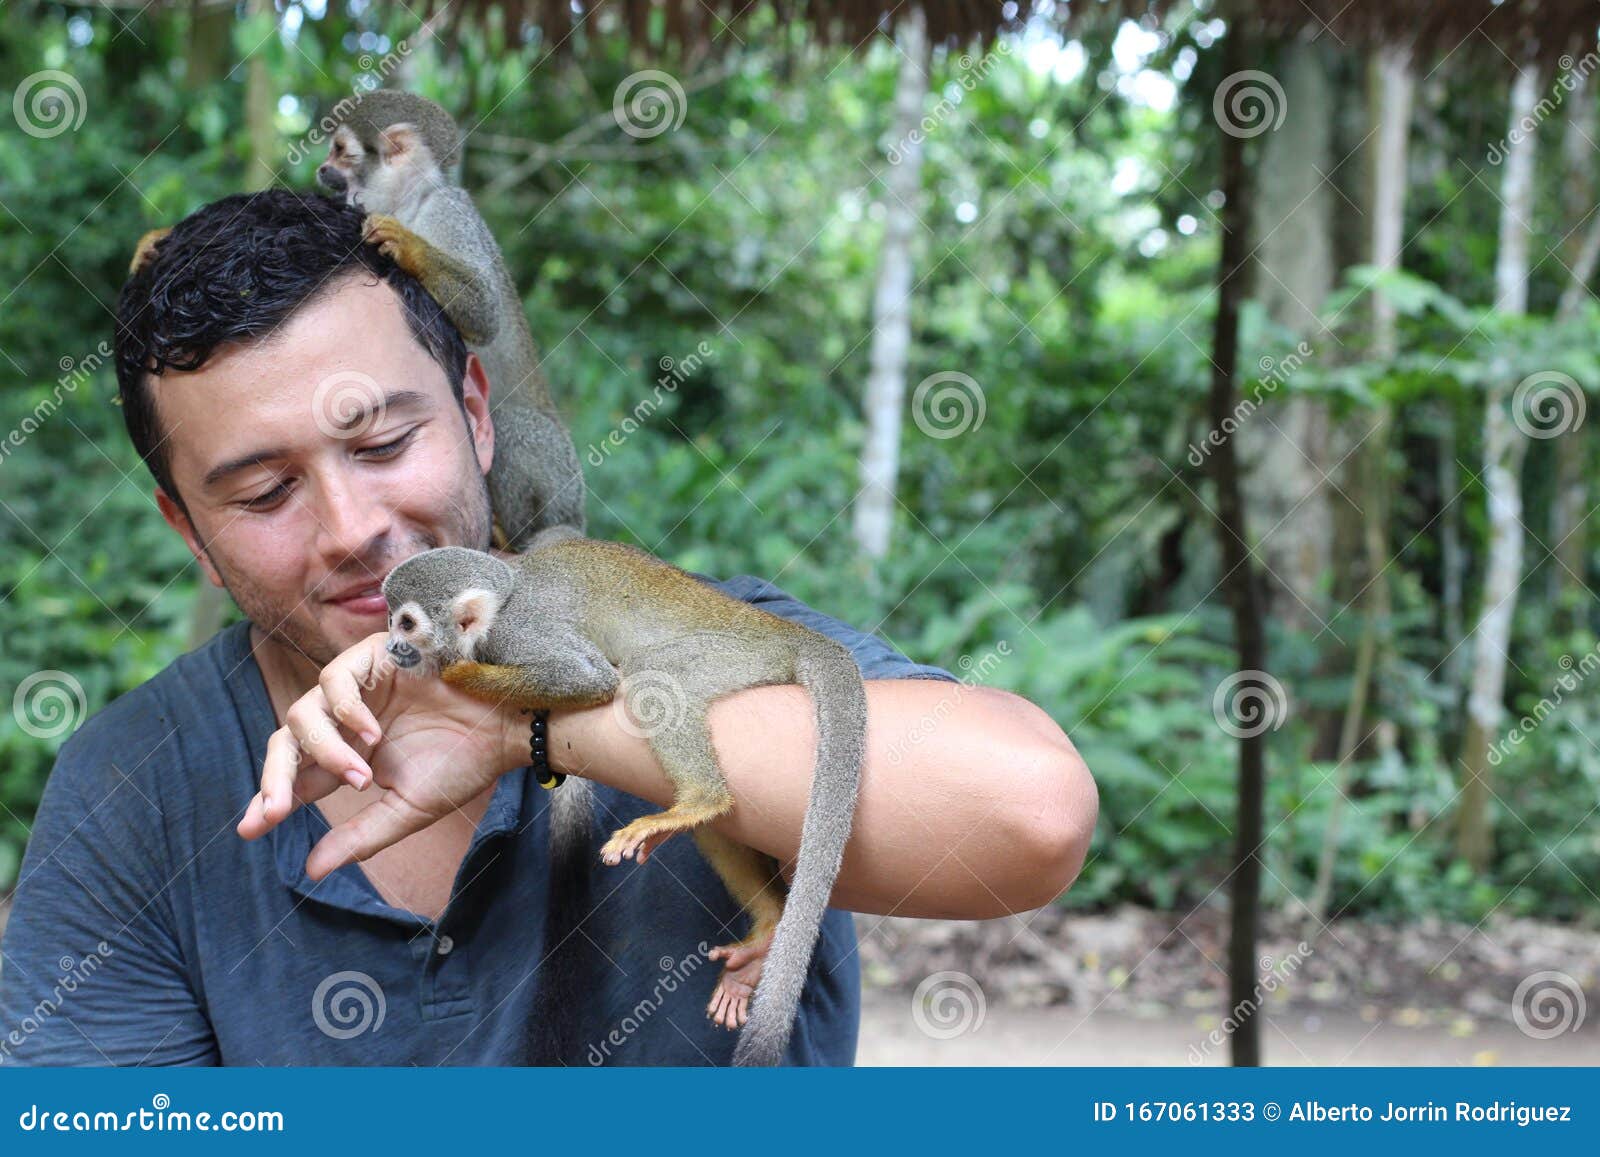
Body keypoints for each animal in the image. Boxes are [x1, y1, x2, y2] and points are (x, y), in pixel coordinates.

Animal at [315, 89, 587, 550]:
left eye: (339, 150)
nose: (321, 169)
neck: (411, 204)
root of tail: (577, 516)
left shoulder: (449, 210)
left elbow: (484, 311)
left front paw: (408, 246)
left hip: (561, 478)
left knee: (512, 425)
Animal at [379, 537, 868, 1067]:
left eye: (406, 624)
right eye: (391, 621)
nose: (391, 647)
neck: (504, 599)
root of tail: (786, 633)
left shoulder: (519, 633)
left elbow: (589, 679)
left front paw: (460, 672)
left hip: (732, 656)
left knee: (652, 673)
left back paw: (701, 800)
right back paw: (768, 920)